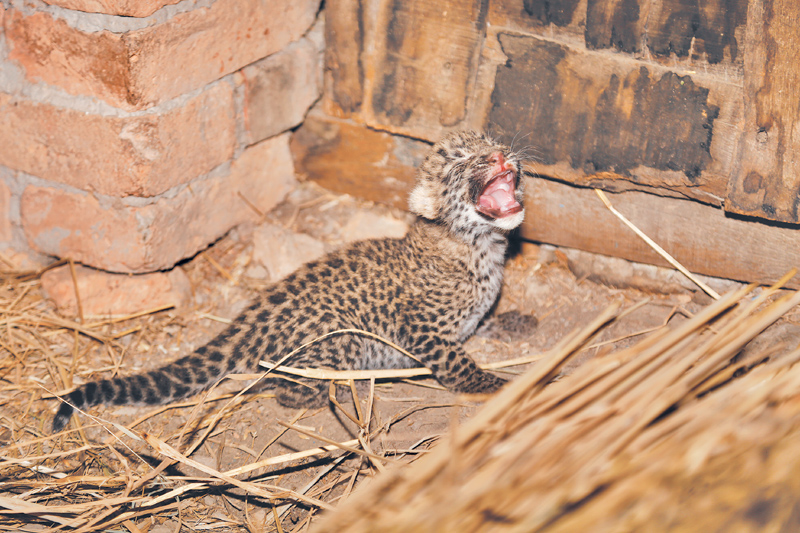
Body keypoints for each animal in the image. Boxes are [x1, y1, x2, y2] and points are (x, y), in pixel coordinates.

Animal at [51, 129, 533, 433]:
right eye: (460, 160)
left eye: (492, 143)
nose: (498, 156)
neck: (481, 248)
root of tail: (242, 329)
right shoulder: (421, 329)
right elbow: (457, 363)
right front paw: (492, 384)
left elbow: (482, 319)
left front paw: (513, 322)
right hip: (341, 337)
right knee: (281, 385)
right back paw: (343, 387)